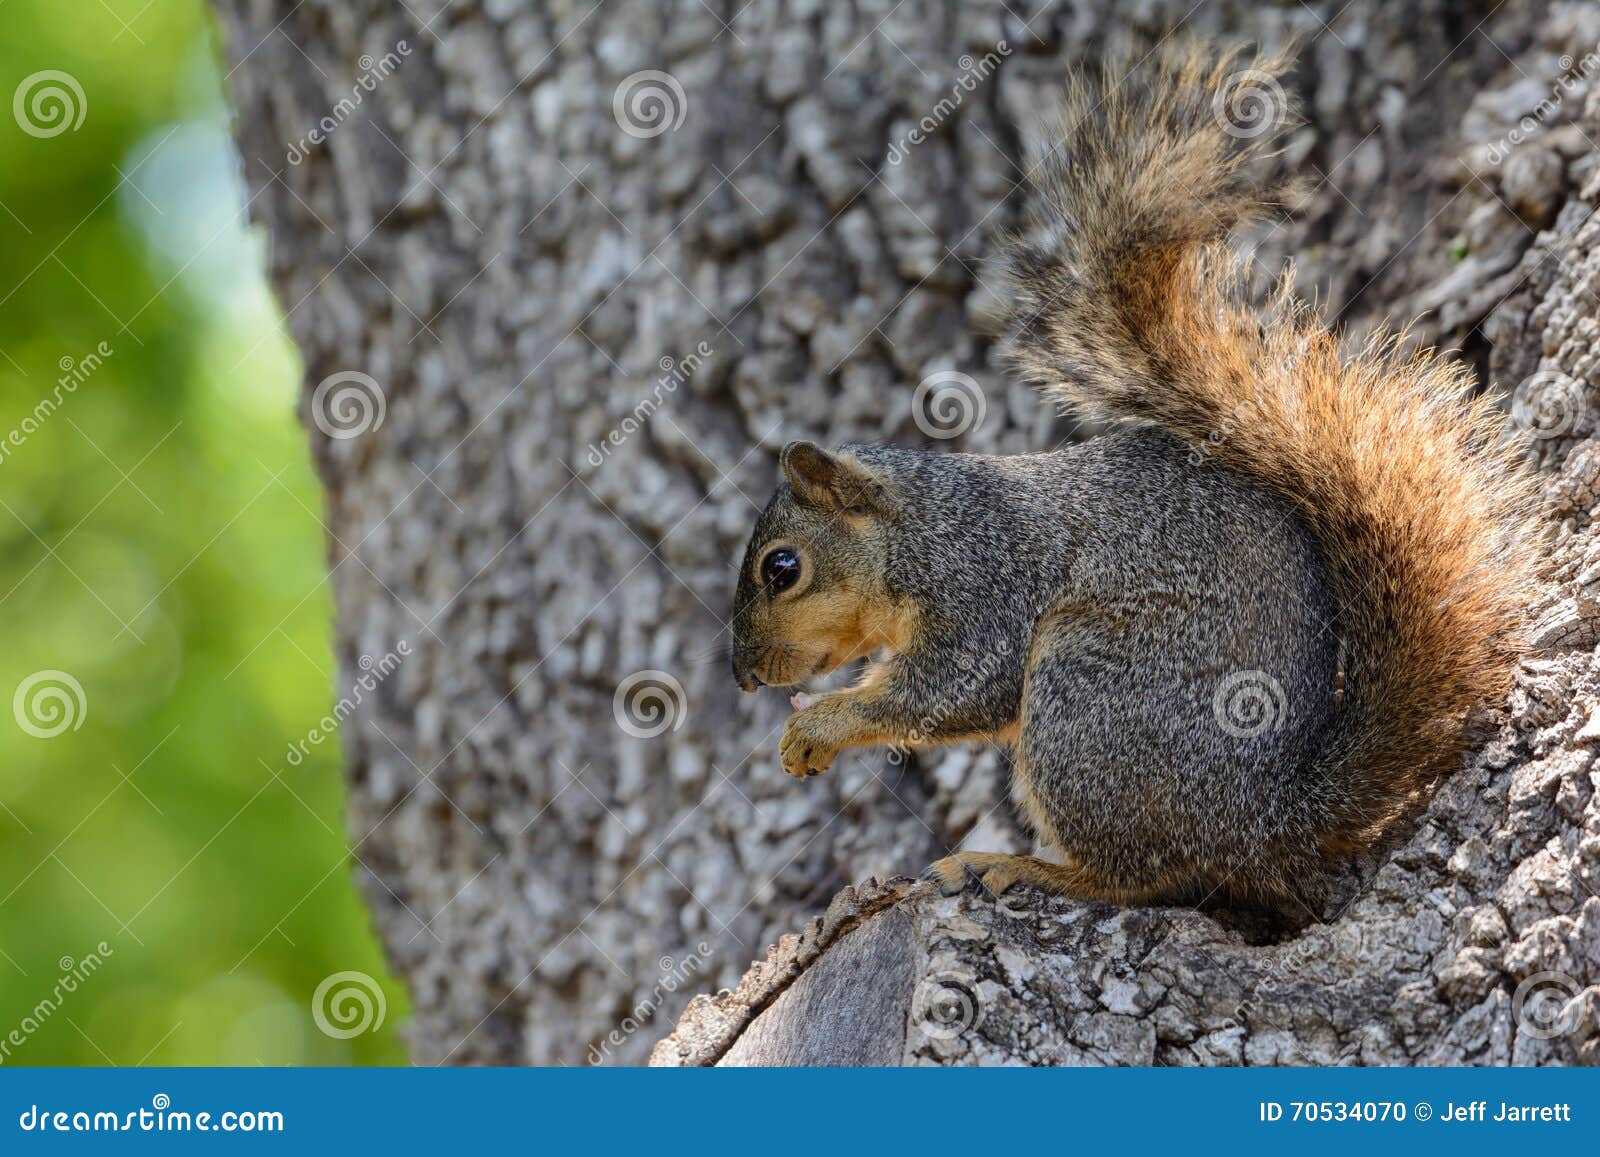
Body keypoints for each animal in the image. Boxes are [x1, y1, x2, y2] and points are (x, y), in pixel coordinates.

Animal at [728, 42, 1539, 906]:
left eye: (783, 568)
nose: (745, 677)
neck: (917, 526)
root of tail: (1268, 819)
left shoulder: (980, 580)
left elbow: (957, 684)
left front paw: (818, 723)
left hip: (1088, 693)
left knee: (1139, 876)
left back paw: (1020, 865)